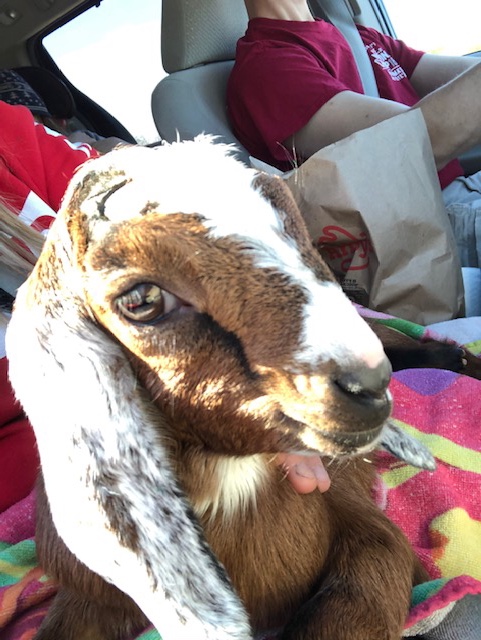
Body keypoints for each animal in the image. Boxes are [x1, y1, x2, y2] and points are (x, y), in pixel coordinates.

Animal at [8, 138, 456, 640]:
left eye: (293, 220)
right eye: (141, 299)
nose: (370, 384)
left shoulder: (364, 524)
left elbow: (357, 603)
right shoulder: (85, 597)